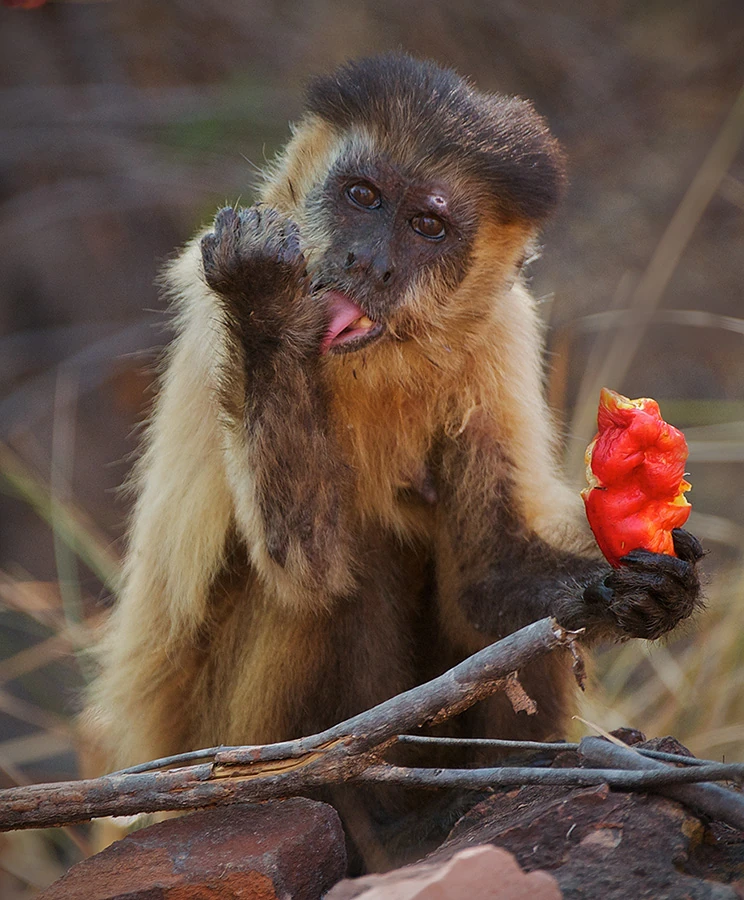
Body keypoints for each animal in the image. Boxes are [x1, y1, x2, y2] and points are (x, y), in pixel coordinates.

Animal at [86, 53, 703, 865]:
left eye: (426, 226)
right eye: (362, 197)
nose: (368, 262)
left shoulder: (500, 330)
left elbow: (487, 580)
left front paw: (641, 594)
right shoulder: (203, 295)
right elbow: (307, 564)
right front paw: (261, 302)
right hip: (216, 751)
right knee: (342, 573)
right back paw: (380, 822)